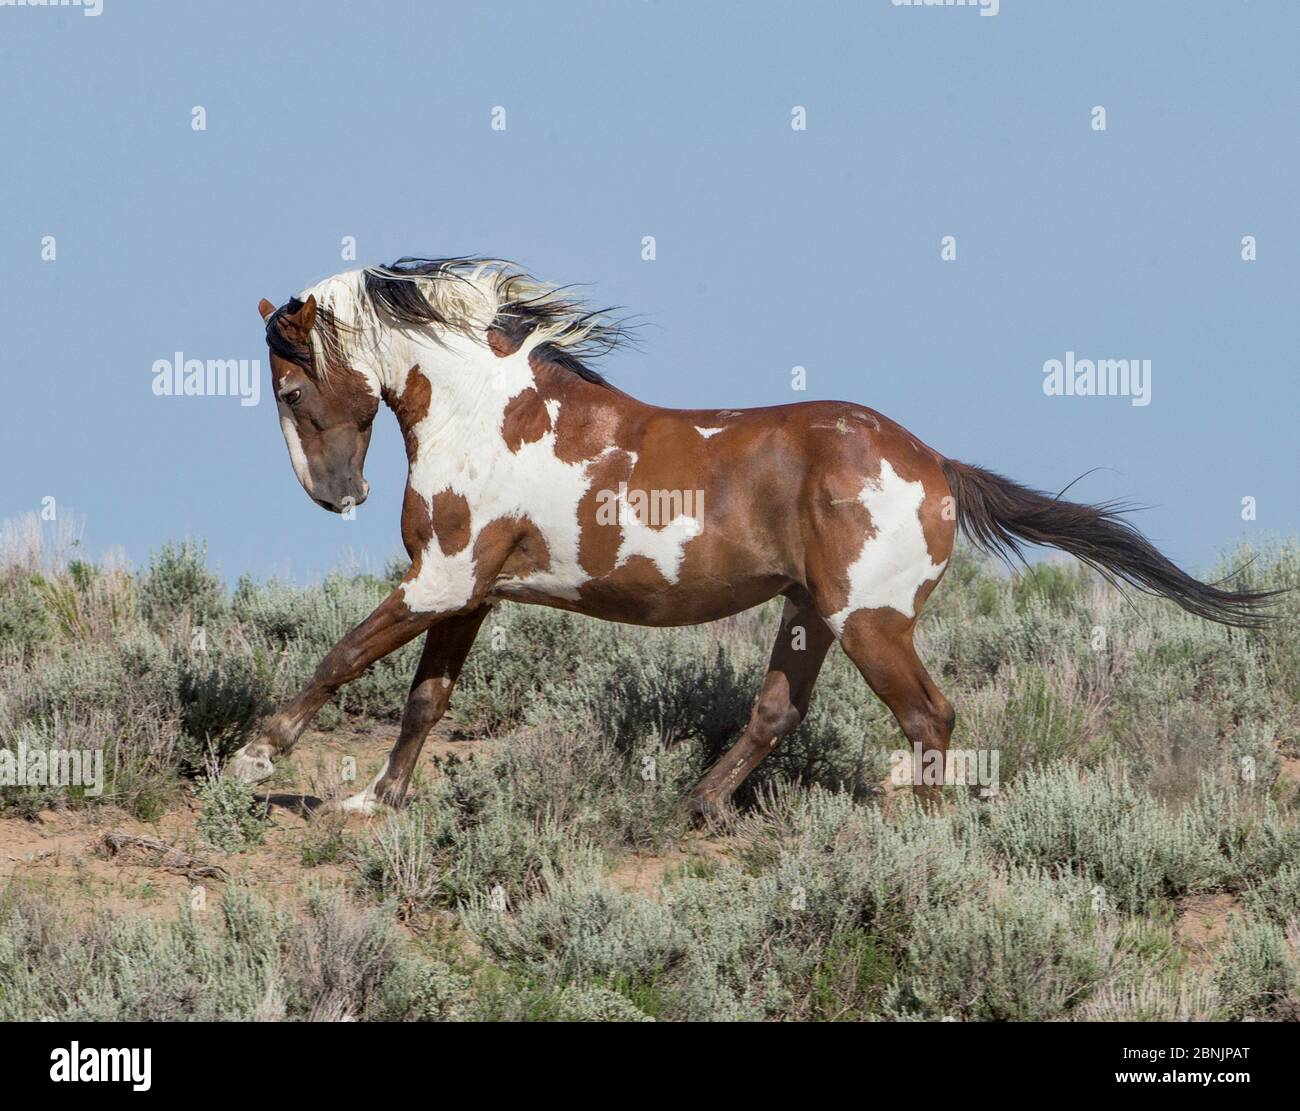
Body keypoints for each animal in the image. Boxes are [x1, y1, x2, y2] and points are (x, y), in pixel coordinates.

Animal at [226, 257, 1276, 816]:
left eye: (288, 386)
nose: (336, 495)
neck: (486, 415)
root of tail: (937, 465)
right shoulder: (467, 590)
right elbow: (423, 701)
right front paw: (376, 800)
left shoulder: (441, 579)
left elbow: (341, 656)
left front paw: (253, 757)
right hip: (809, 611)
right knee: (779, 710)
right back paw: (696, 802)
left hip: (870, 621)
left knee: (930, 717)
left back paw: (925, 835)